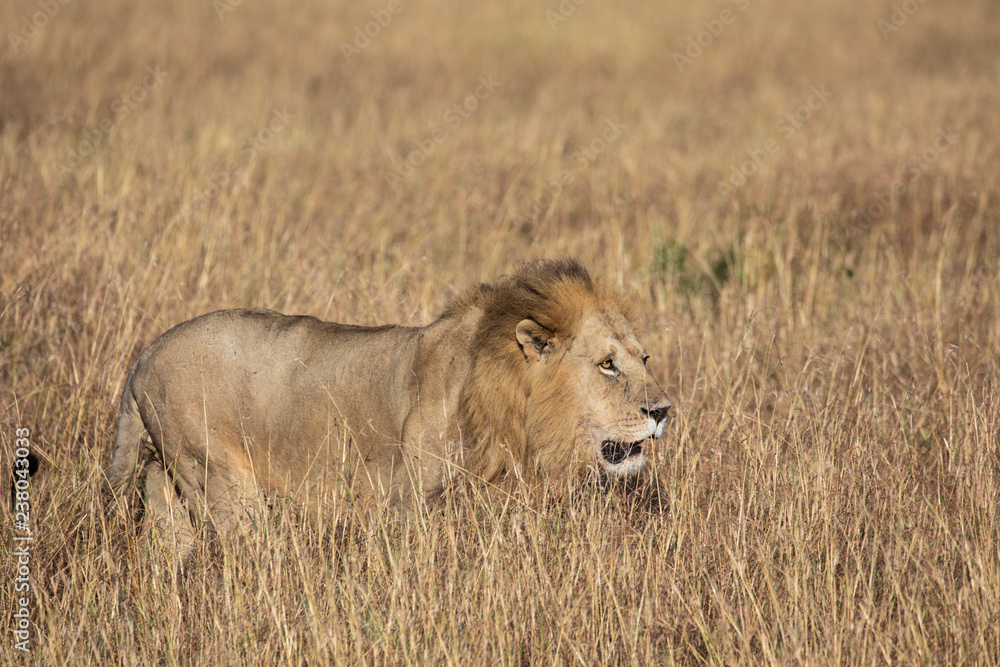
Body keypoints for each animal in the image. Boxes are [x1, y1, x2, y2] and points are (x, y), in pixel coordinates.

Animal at [106, 260, 671, 545]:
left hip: (169, 476)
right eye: (607, 364)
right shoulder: (411, 501)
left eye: (645, 358)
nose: (663, 412)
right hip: (219, 477)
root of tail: (144, 356)